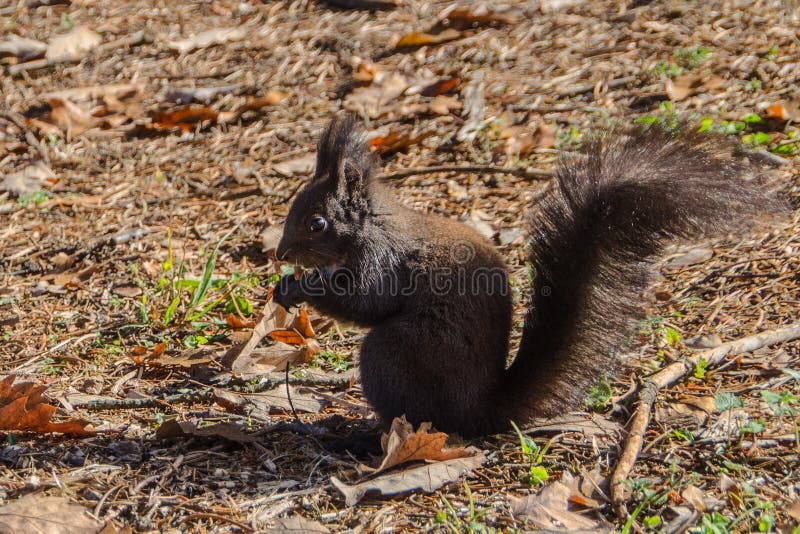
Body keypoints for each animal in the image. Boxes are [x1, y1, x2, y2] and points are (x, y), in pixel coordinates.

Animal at [273, 113, 783, 437]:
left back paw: (356, 437)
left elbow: (367, 302)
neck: (372, 225)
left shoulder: (385, 259)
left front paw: (302, 288)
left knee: (417, 420)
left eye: (316, 223)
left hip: (393, 356)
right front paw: (285, 288)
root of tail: (480, 411)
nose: (280, 254)